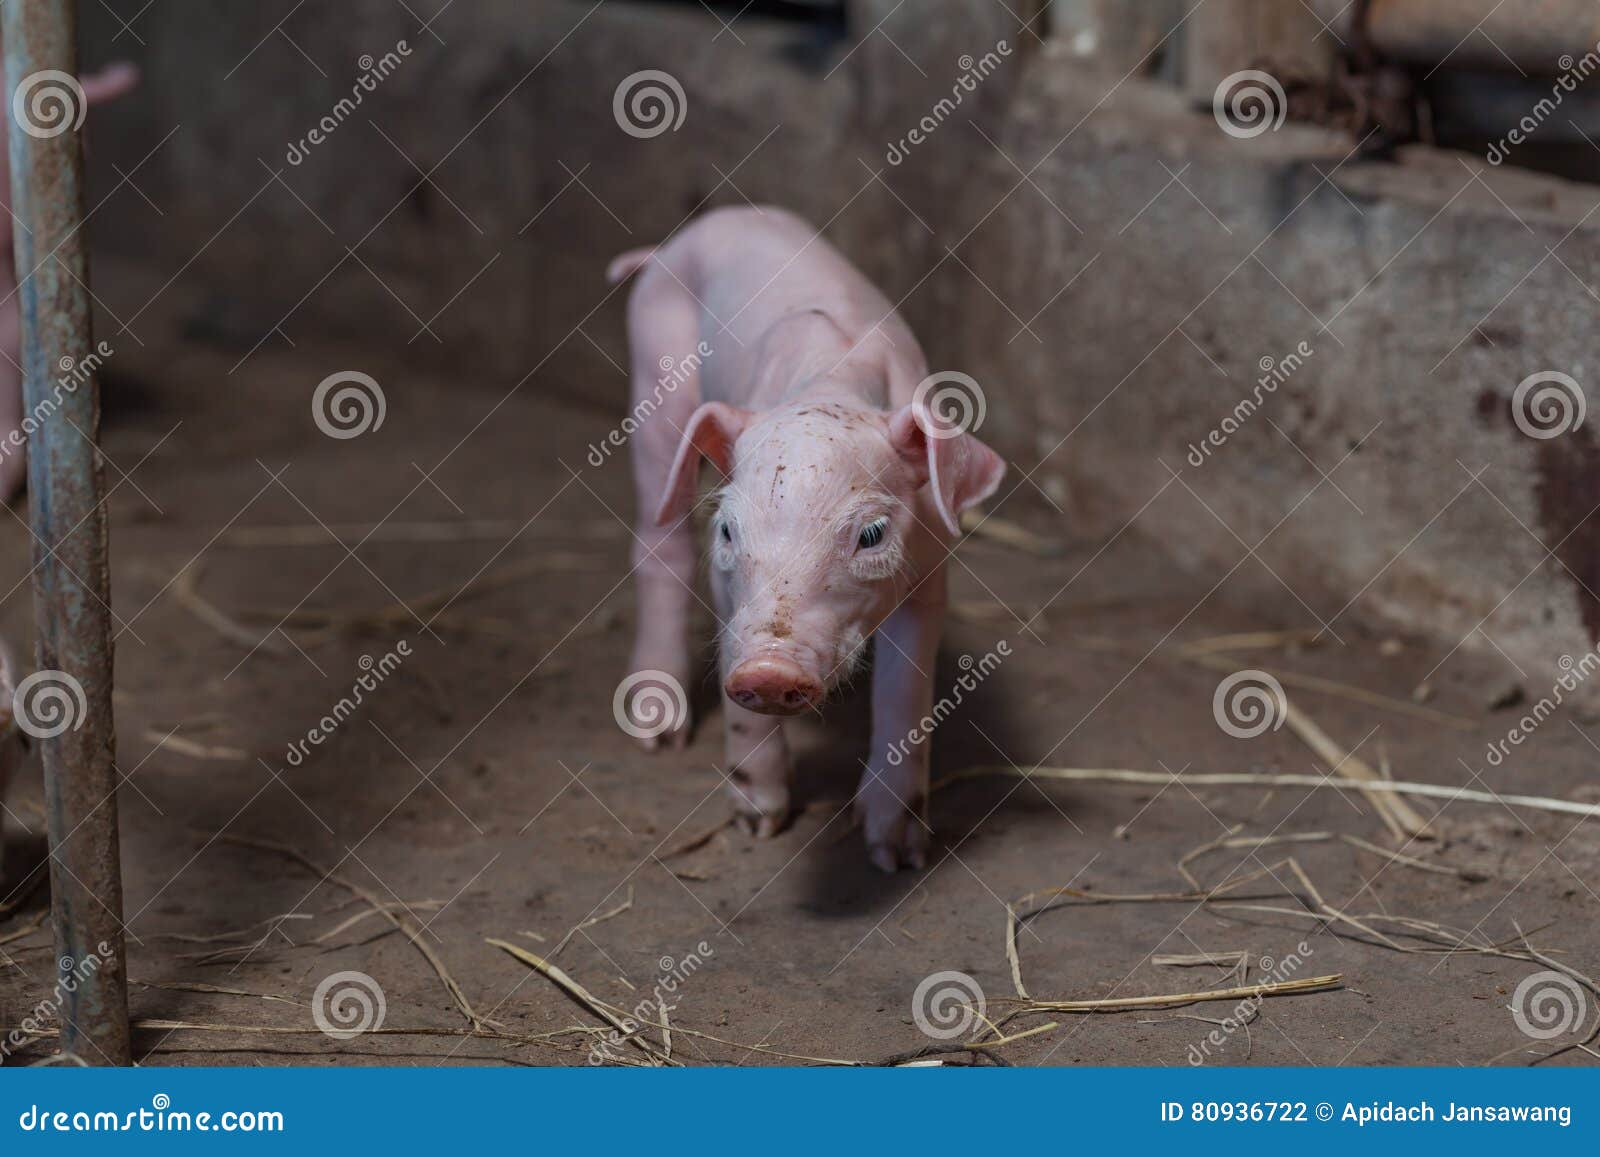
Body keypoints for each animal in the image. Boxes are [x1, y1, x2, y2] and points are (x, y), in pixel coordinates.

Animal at [610, 206, 1006, 872]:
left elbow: (905, 690)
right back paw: (657, 736)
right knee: (660, 542)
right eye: (728, 528)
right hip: (653, 383)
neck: (830, 388)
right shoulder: (727, 584)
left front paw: (894, 855)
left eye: (871, 534)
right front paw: (758, 824)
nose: (769, 669)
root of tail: (670, 245)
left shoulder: (930, 565)